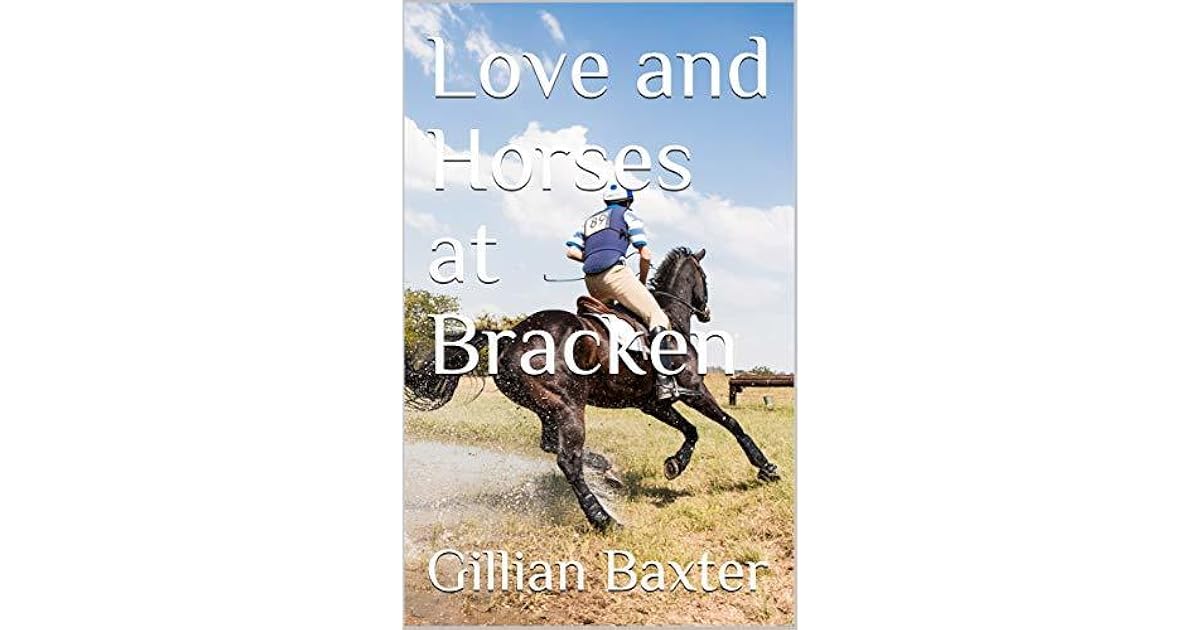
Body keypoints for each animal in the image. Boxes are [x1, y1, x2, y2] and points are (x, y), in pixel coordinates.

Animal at [405, 247, 780, 530]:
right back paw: (603, 519)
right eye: (705, 279)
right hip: (569, 405)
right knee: (567, 459)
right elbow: (731, 424)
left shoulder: (653, 403)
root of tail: (510, 336)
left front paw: (675, 464)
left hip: (548, 406)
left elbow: (691, 430)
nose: (706, 312)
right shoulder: (694, 389)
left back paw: (606, 471)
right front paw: (766, 468)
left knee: (551, 445)